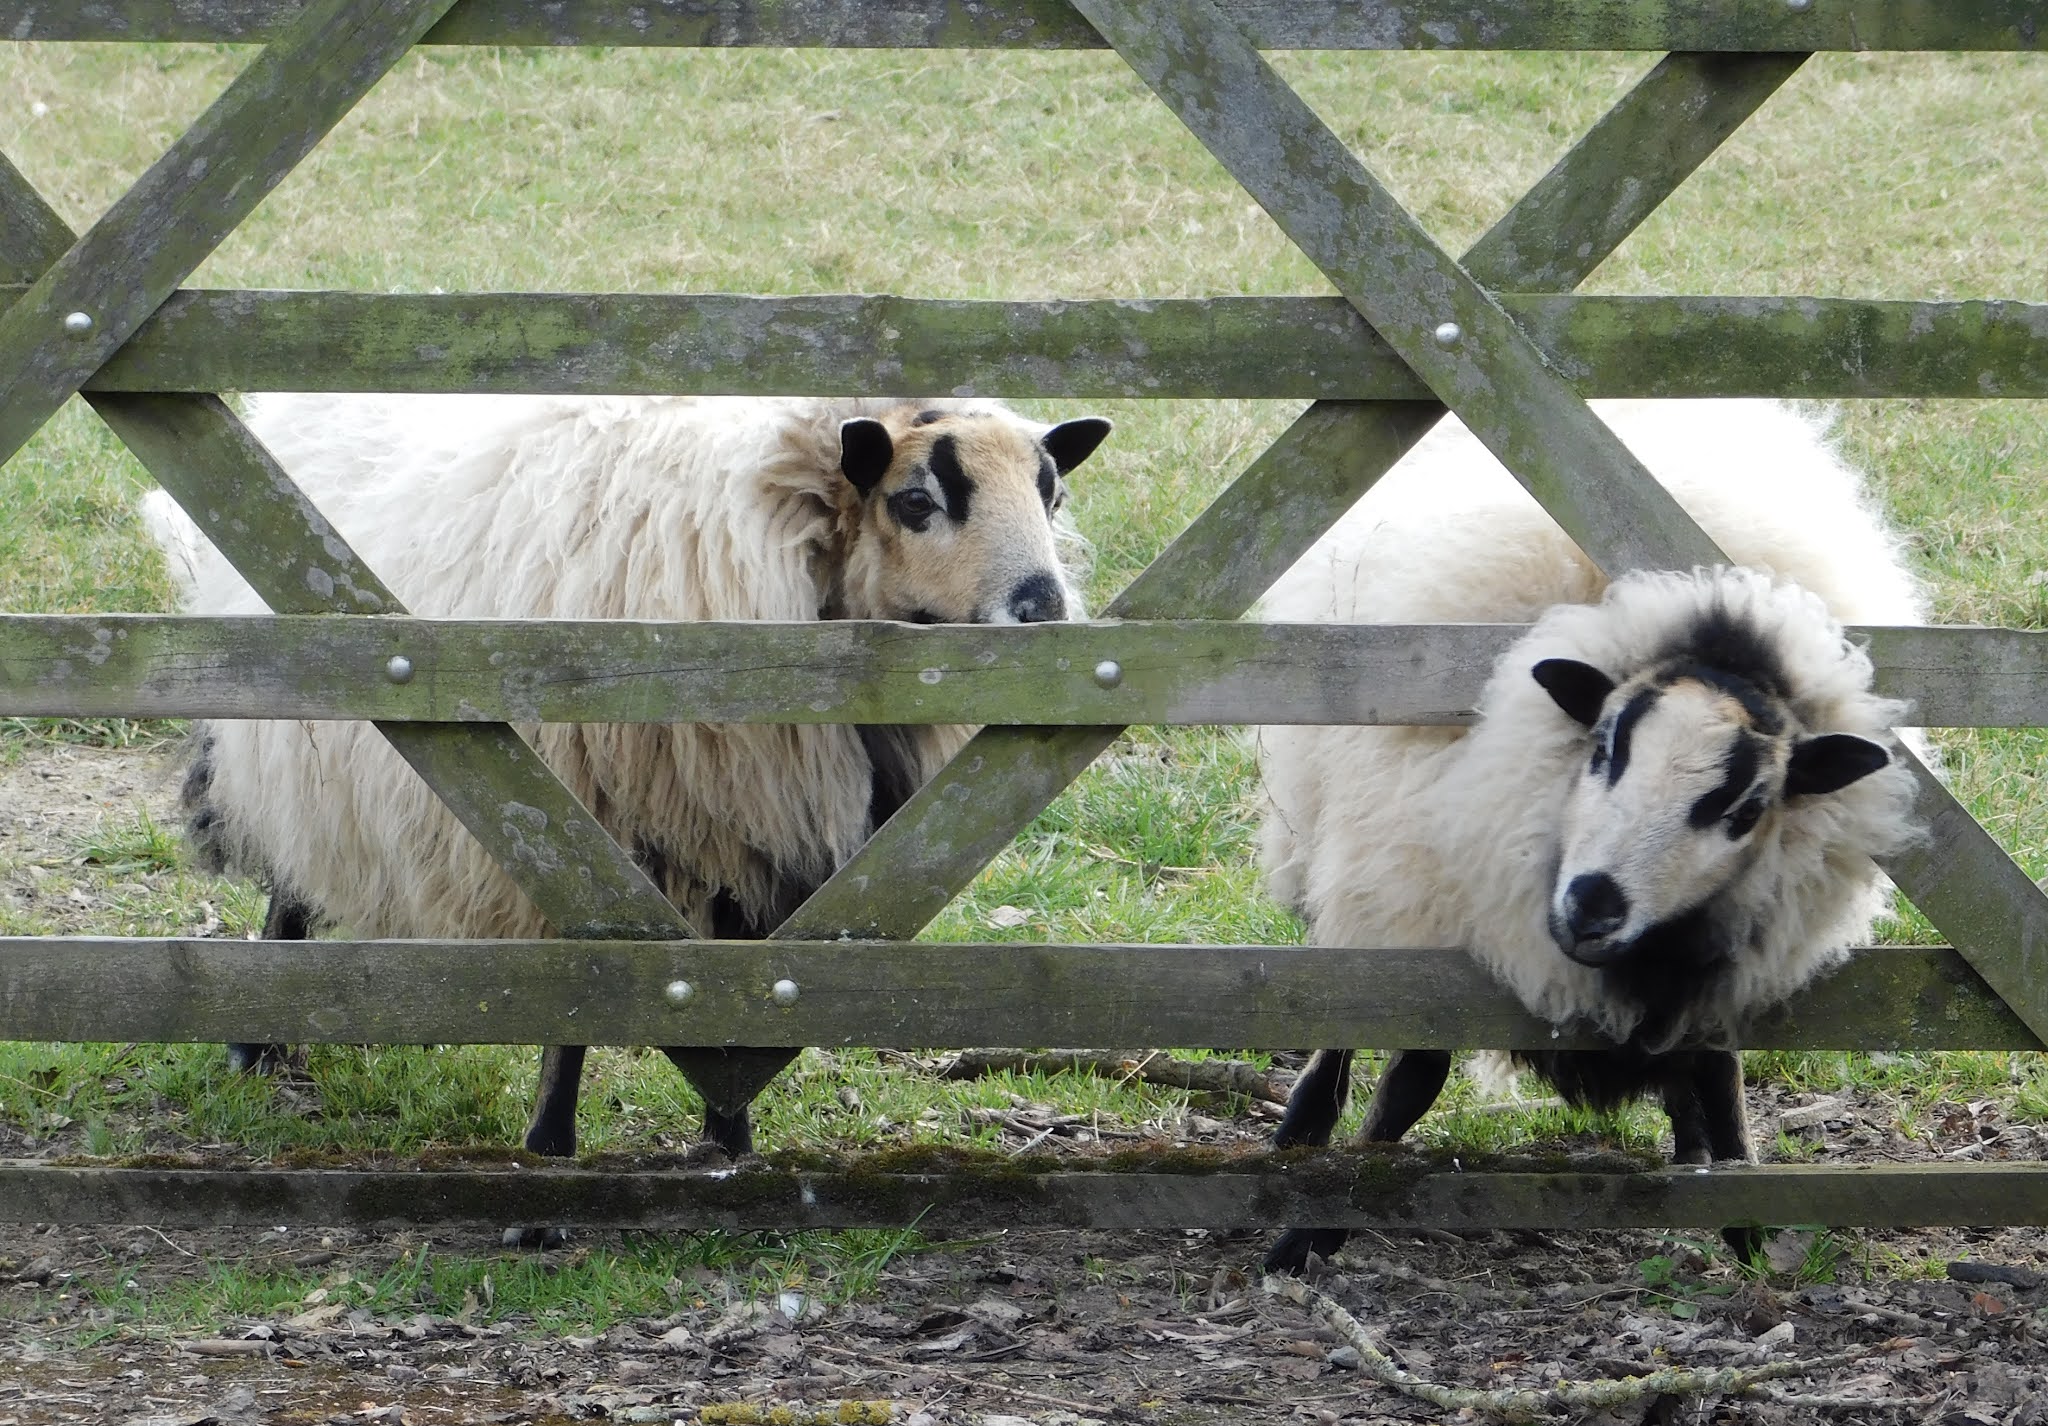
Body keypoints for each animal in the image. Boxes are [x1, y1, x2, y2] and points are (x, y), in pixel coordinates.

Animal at [143, 392, 1111, 1159]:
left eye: (1051, 494)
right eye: (915, 502)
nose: (1044, 610)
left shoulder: (753, 840)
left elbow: (748, 997)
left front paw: (727, 1139)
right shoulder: (583, 829)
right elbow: (582, 1003)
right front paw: (550, 1141)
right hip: (295, 746)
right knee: (288, 875)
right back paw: (258, 1045)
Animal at [1254, 399, 1927, 1273]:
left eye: (1747, 809)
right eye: (1603, 748)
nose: (1591, 910)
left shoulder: (1713, 969)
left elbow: (1721, 1081)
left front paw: (1744, 1225)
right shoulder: (1431, 911)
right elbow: (1411, 1074)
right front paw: (1311, 1232)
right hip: (1356, 855)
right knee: (1338, 1010)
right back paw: (1299, 1137)